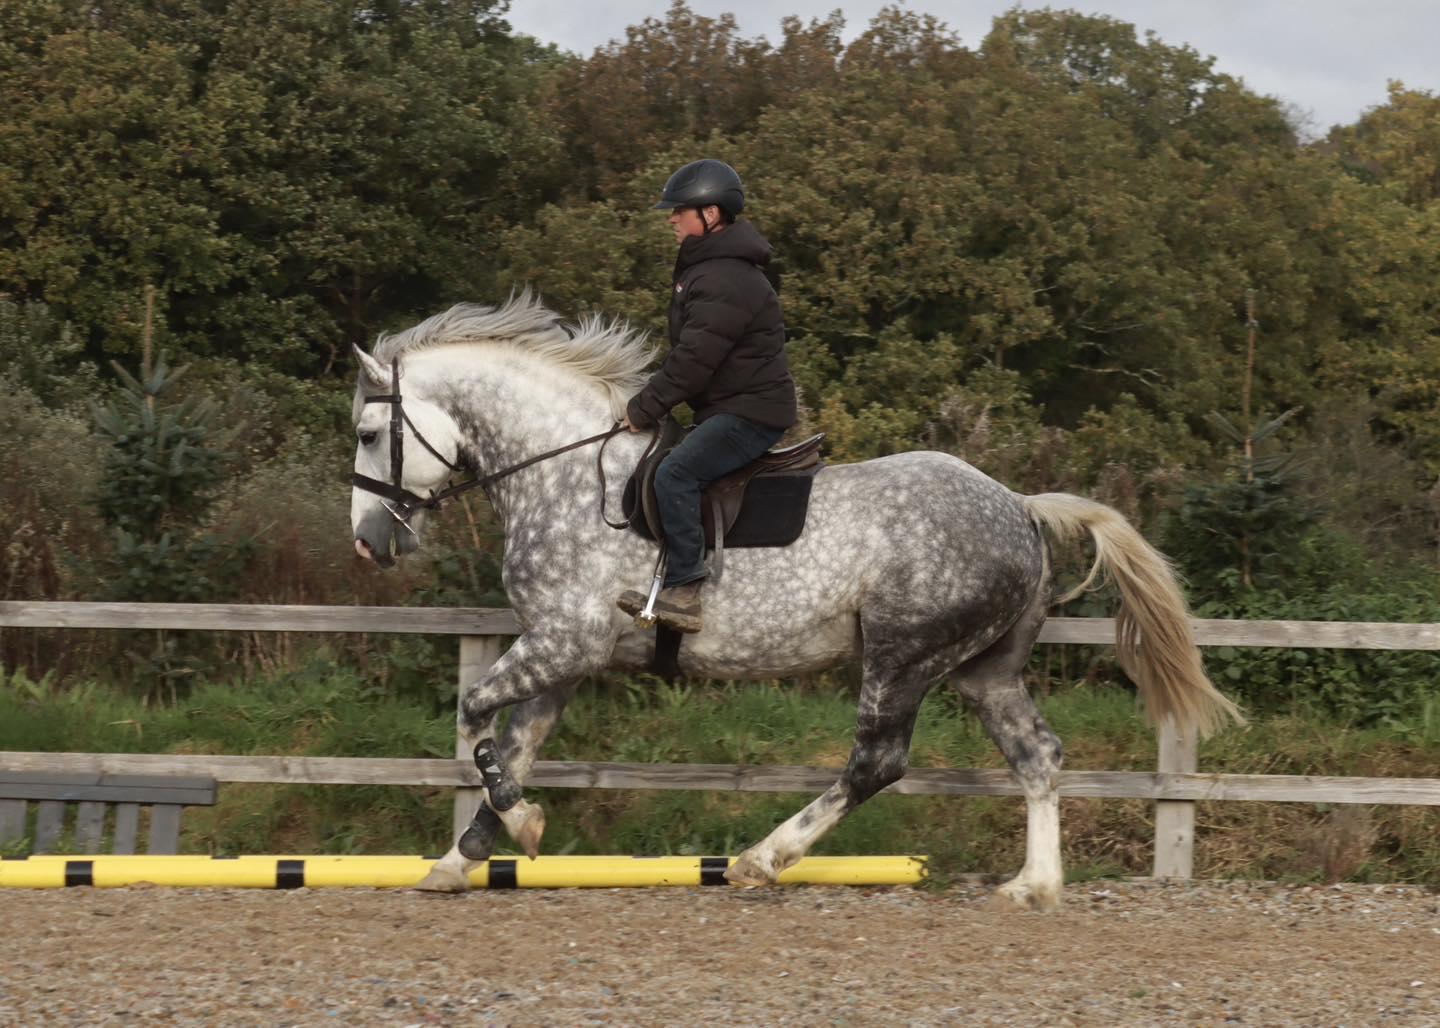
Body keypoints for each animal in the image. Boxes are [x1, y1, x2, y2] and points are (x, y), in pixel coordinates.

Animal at [349, 293, 1242, 909]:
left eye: (367, 435)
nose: (368, 542)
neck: (564, 474)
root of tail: (1019, 504)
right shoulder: (561, 653)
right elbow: (515, 743)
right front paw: (460, 859)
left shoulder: (564, 643)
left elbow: (475, 718)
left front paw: (519, 826)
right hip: (984, 669)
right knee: (1038, 756)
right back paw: (1034, 886)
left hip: (902, 654)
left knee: (876, 763)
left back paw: (761, 859)